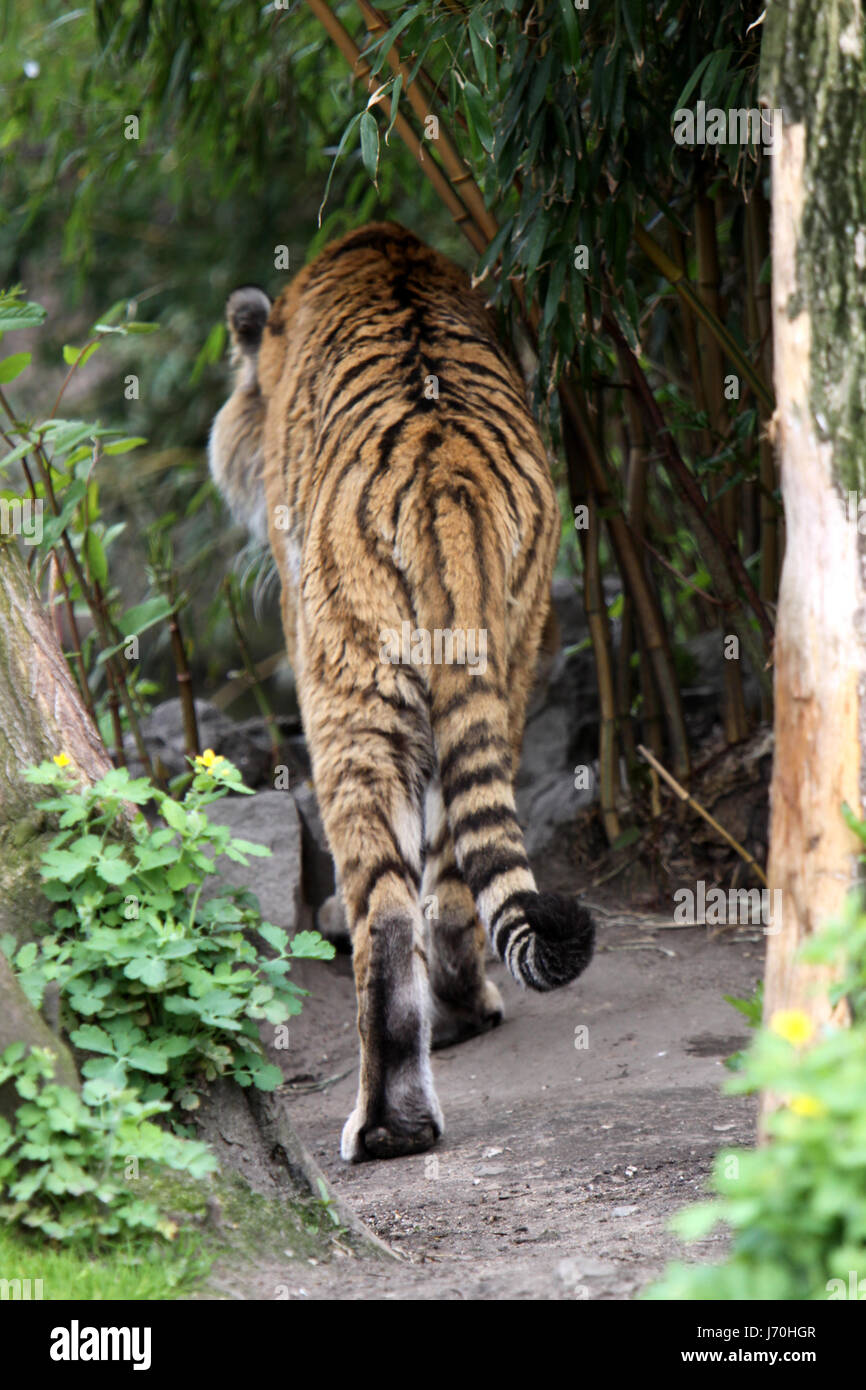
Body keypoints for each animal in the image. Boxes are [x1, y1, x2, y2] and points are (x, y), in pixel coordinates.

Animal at [209, 222, 595, 1162]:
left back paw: (388, 1125)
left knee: (383, 911)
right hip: (503, 663)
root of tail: (445, 474)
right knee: (456, 865)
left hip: (351, 699)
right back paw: (449, 1036)